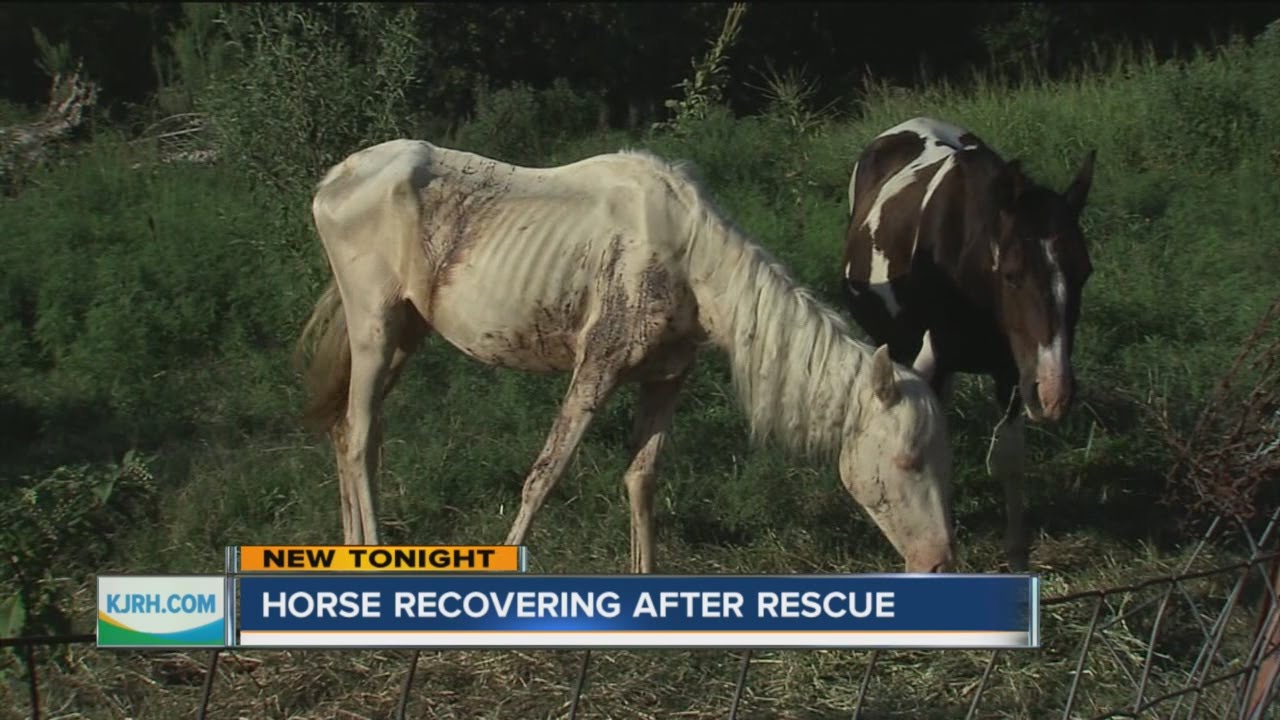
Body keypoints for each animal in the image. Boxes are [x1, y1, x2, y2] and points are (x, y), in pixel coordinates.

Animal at [295, 138, 956, 574]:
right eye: (905, 461)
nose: (939, 562)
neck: (689, 260)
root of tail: (333, 181)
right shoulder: (599, 366)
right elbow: (546, 473)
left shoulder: (666, 378)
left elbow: (642, 478)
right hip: (374, 327)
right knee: (359, 437)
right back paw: (372, 552)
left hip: (403, 335)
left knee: (349, 429)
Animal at [840, 116, 1096, 572]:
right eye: (1012, 274)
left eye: (1084, 272)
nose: (1054, 394)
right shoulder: (935, 363)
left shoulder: (1012, 371)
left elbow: (1008, 458)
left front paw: (1016, 557)